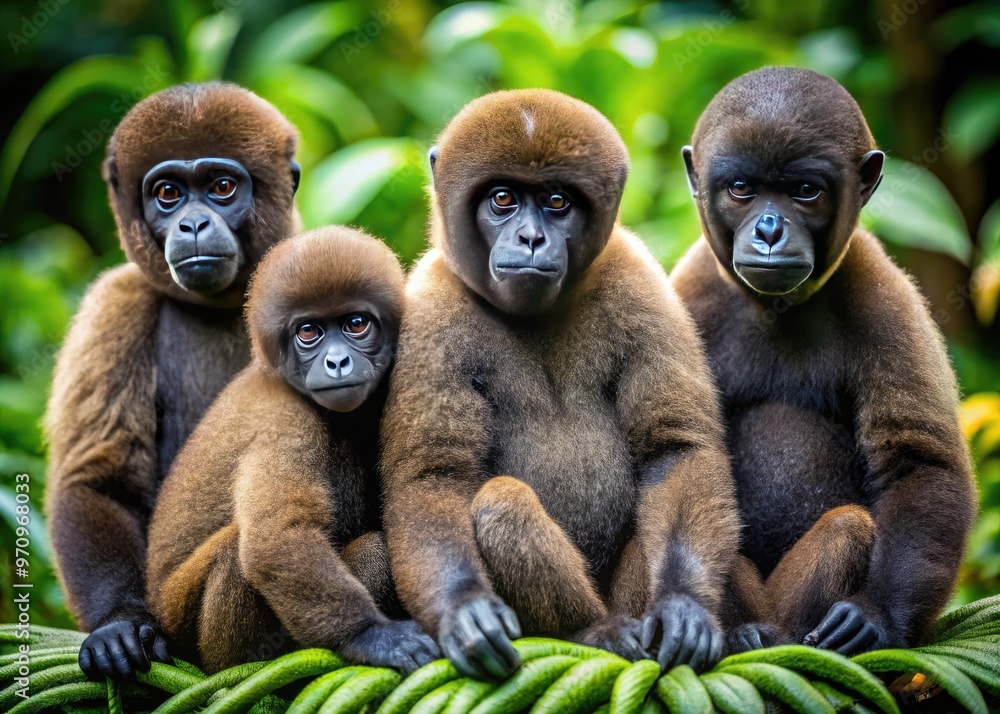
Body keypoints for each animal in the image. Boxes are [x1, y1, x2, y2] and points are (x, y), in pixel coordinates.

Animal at [44, 82, 301, 680]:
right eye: (167, 193)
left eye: (222, 187)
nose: (192, 224)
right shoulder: (116, 302)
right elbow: (99, 476)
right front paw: (118, 622)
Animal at [145, 225, 440, 673]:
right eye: (308, 333)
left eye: (356, 324)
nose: (337, 362)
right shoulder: (283, 417)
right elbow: (277, 535)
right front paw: (372, 636)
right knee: (237, 552)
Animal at [380, 89, 740, 680]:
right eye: (503, 199)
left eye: (556, 202)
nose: (530, 237)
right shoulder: (429, 311)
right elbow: (434, 474)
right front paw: (465, 607)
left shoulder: (638, 279)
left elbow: (674, 448)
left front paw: (685, 605)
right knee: (501, 503)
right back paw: (590, 630)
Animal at [671, 66, 977, 656]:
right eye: (741, 189)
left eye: (805, 192)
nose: (769, 230)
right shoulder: (689, 294)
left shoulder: (885, 299)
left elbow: (919, 461)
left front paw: (877, 616)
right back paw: (742, 634)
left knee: (850, 527)